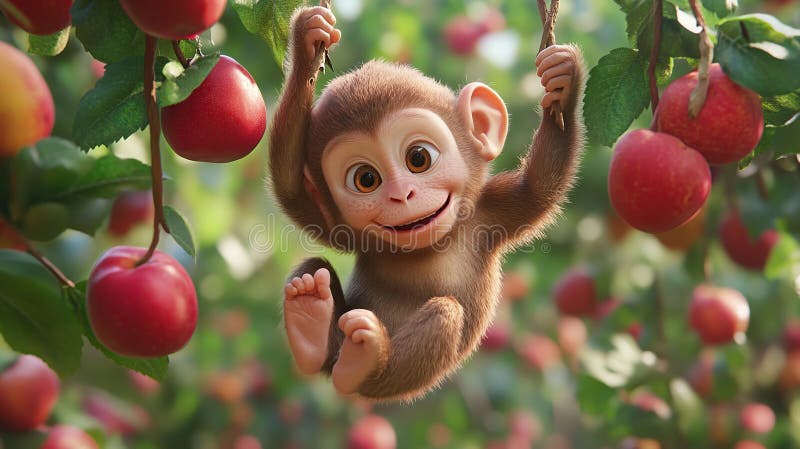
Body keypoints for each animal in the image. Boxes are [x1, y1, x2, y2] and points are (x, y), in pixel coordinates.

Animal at [268, 6, 585, 402]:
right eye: (366, 179)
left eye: (418, 158)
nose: (402, 194)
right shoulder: (347, 230)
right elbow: (293, 193)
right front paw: (307, 44)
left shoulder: (489, 212)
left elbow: (541, 187)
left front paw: (564, 80)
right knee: (313, 269)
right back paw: (311, 321)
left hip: (399, 378)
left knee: (445, 315)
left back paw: (365, 359)